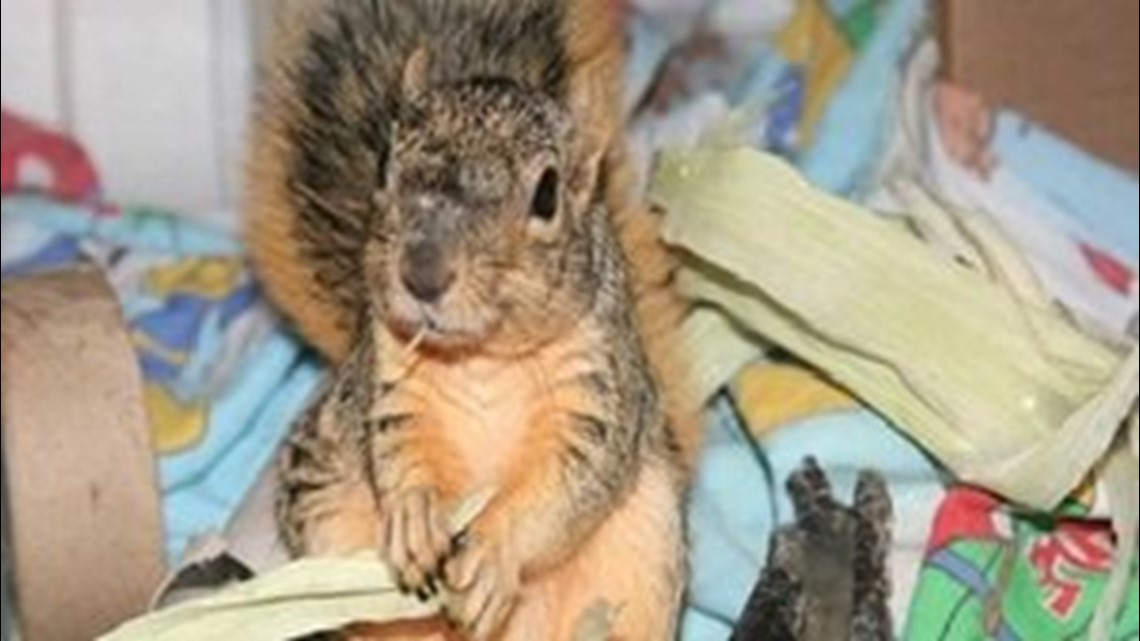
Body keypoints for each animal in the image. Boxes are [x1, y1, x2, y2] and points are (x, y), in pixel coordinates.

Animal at [245, 1, 701, 639]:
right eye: (383, 165)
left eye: (547, 194)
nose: (422, 271)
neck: (483, 357)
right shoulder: (390, 385)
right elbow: (401, 454)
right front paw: (415, 515)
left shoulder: (596, 395)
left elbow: (568, 484)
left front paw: (491, 554)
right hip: (327, 509)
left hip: (646, 551)